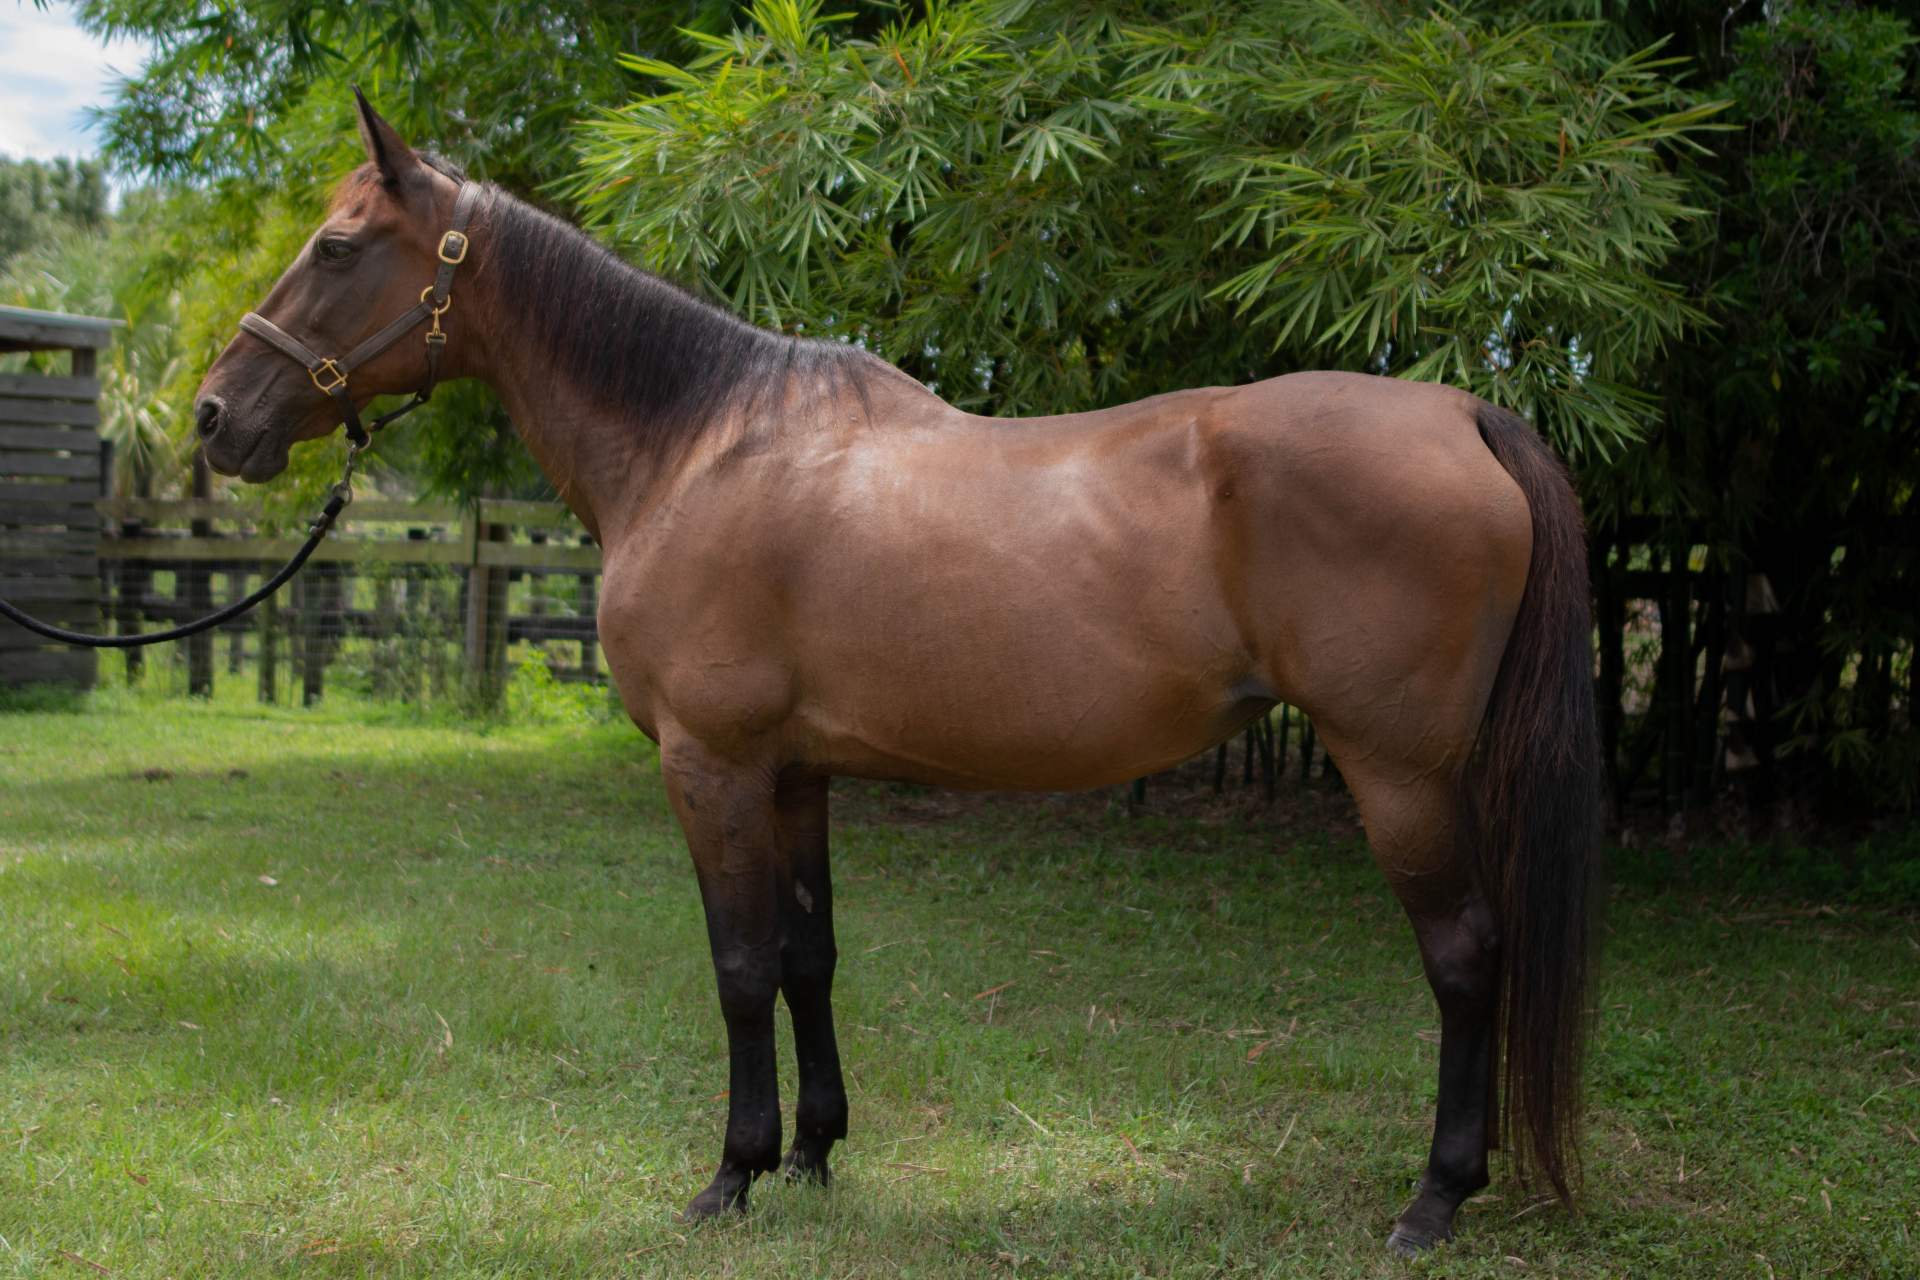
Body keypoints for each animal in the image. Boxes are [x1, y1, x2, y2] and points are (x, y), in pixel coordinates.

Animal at [193, 94, 1600, 1254]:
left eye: (335, 248)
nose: (214, 416)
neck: (701, 443)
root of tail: (1463, 412)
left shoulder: (711, 765)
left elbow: (740, 964)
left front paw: (732, 1174)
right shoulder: (797, 771)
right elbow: (809, 955)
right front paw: (815, 1152)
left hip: (1398, 771)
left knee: (1465, 954)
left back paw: (1434, 1199)